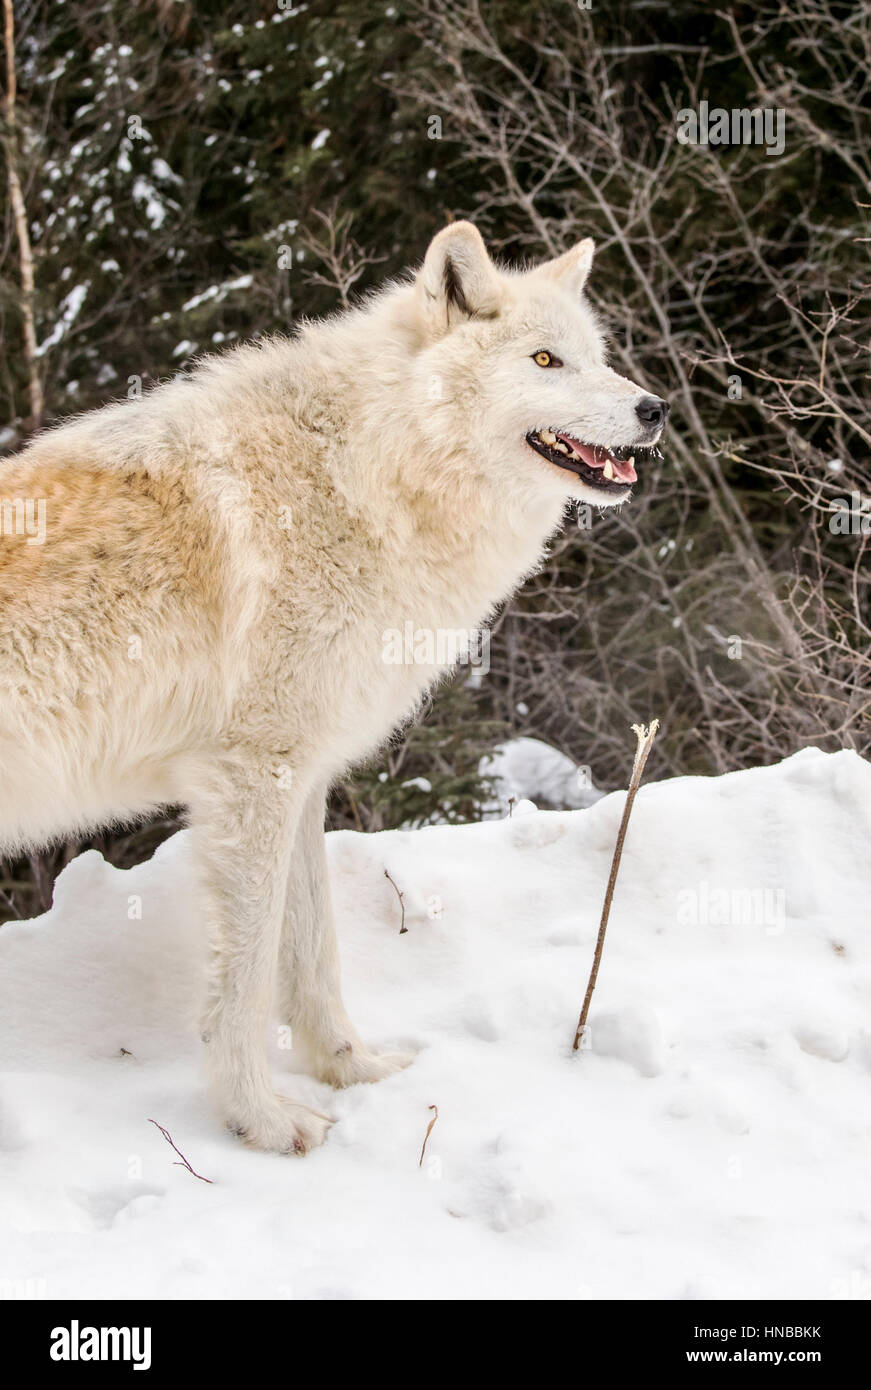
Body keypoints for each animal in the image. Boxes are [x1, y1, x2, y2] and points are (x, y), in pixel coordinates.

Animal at [0, 222, 668, 1152]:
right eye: (545, 360)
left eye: (598, 359)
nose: (655, 410)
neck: (363, 472)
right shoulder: (254, 777)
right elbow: (246, 981)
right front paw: (261, 1120)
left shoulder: (304, 779)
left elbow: (314, 957)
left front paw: (353, 1073)